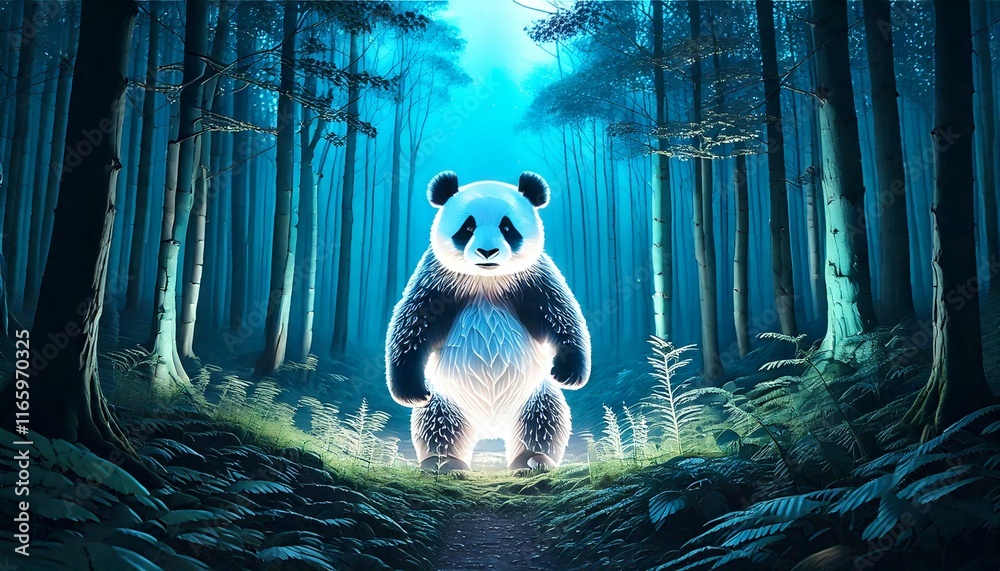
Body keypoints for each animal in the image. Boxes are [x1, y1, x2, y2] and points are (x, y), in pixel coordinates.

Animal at [385, 171, 591, 472]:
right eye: (467, 227)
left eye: (507, 227)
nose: (487, 252)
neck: (487, 278)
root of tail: (490, 429)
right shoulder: (438, 278)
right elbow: (413, 322)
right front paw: (410, 391)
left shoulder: (532, 277)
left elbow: (559, 313)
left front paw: (568, 372)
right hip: (447, 397)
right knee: (436, 423)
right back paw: (445, 464)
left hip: (533, 393)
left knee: (544, 419)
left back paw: (533, 460)